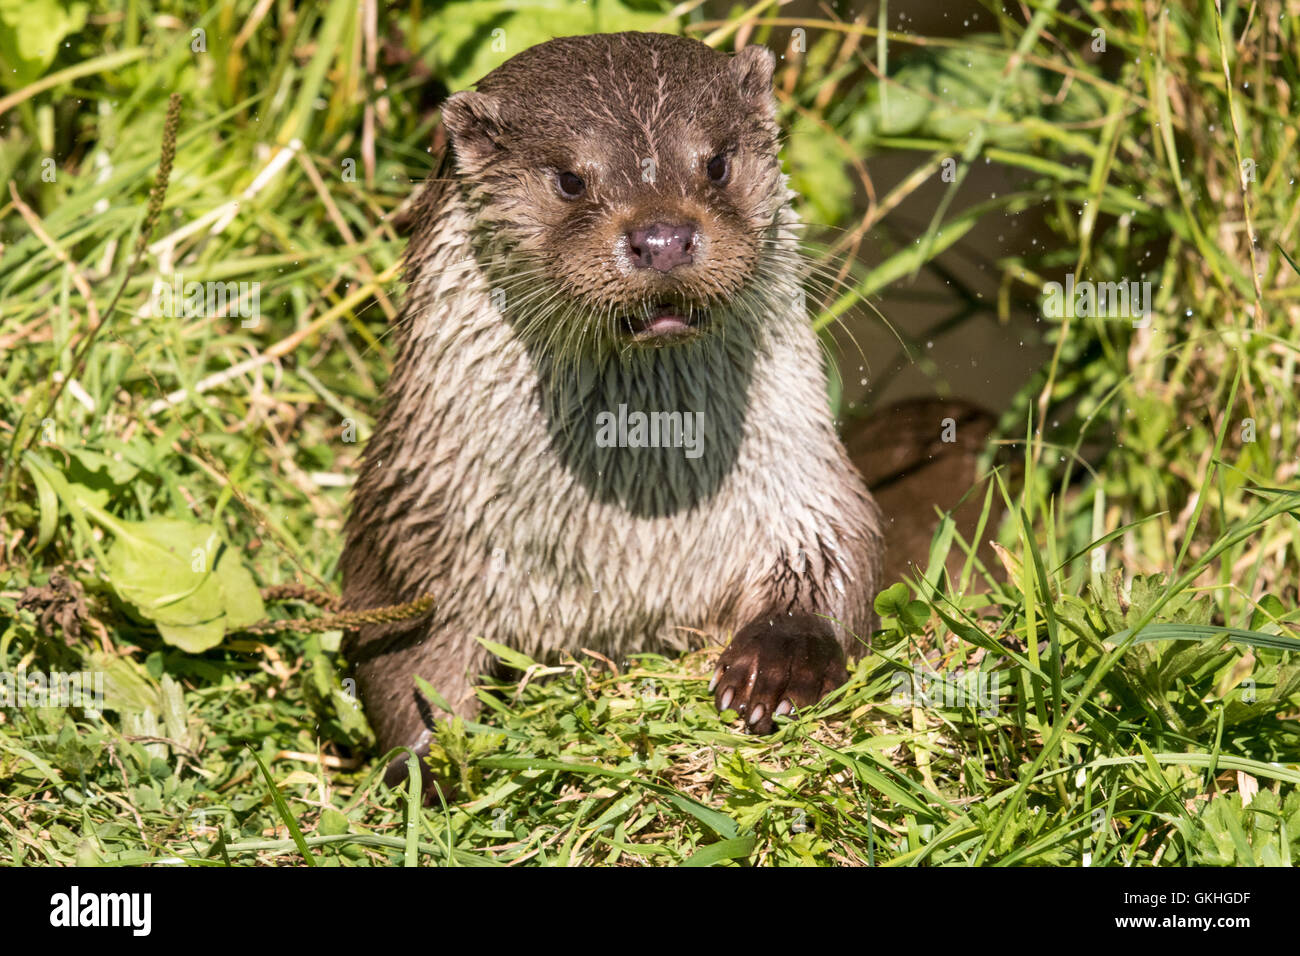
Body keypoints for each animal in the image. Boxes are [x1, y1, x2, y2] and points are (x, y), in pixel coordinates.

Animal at [342, 32, 883, 778]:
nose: (662, 238)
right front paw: (428, 771)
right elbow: (403, 657)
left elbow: (838, 559)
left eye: (716, 163)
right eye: (571, 179)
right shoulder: (416, 531)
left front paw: (775, 671)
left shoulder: (805, 487)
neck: (628, 550)